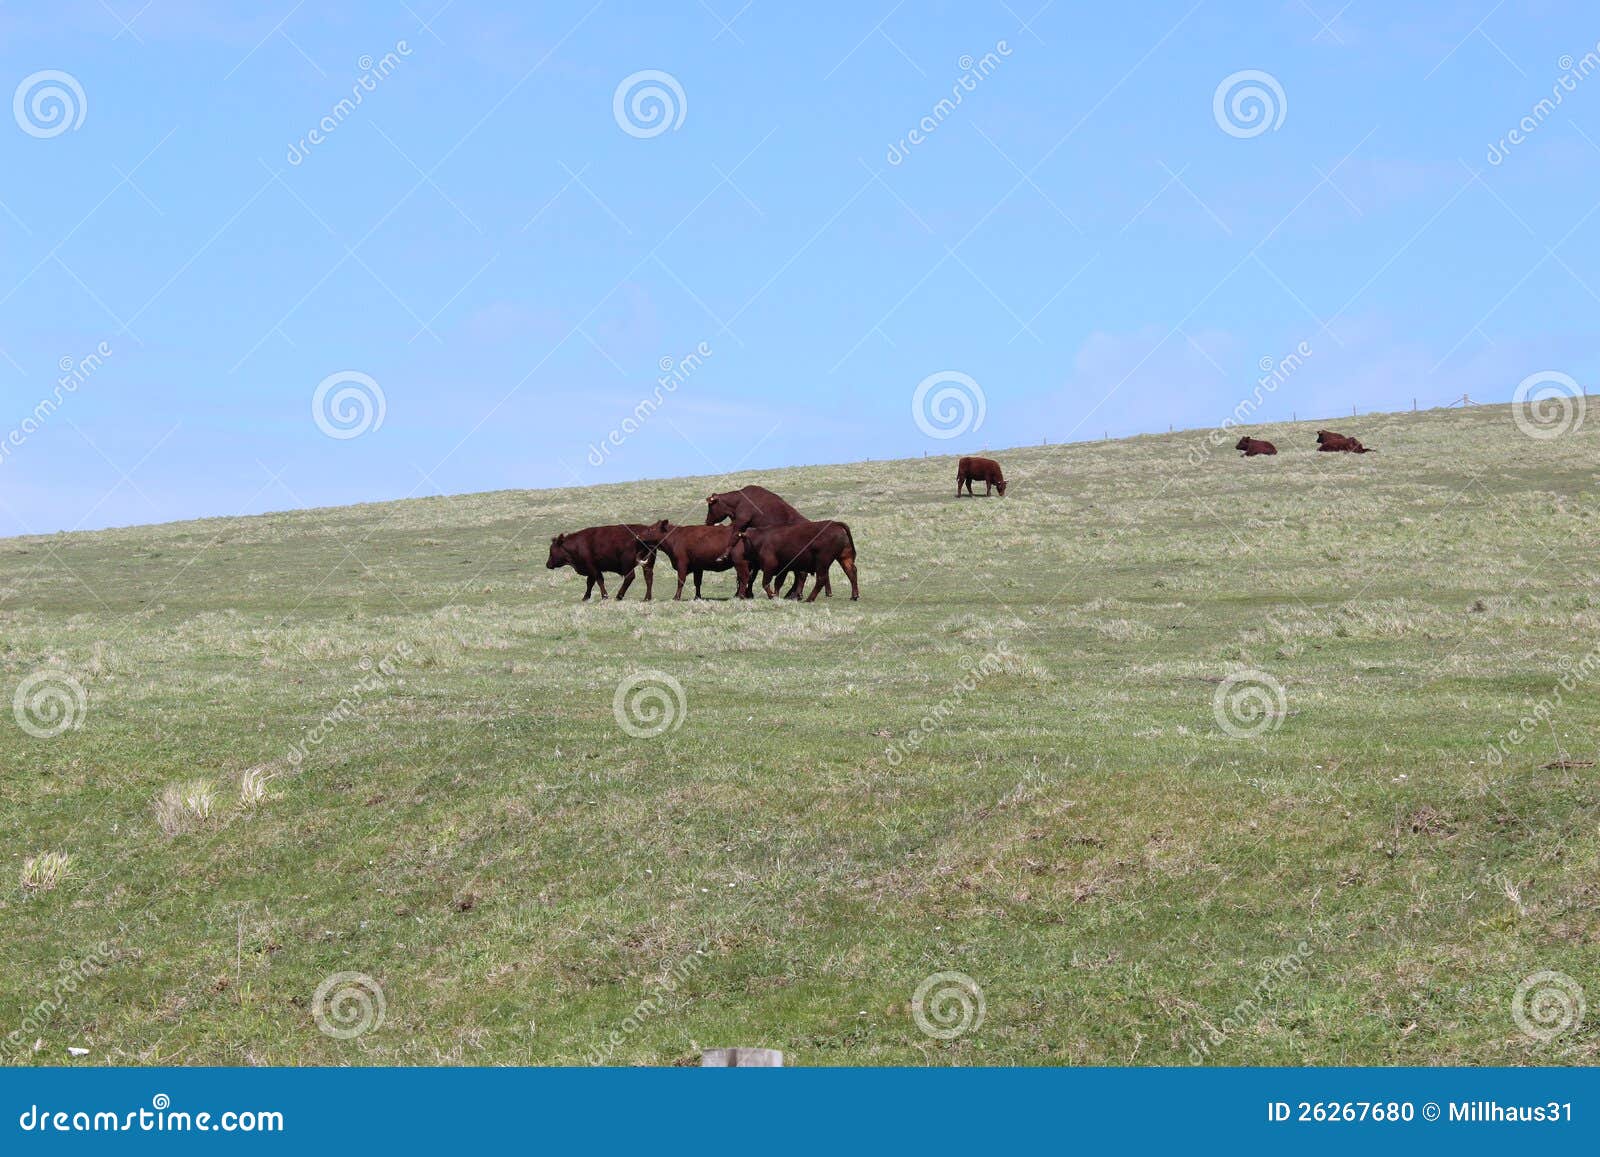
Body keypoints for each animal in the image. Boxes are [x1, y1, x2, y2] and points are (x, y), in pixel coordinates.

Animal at [718, 520, 860, 602]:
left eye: (738, 540)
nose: (725, 555)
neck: (761, 538)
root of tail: (835, 524)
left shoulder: (769, 565)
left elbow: (765, 583)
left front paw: (772, 596)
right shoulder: (783, 568)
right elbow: (778, 583)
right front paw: (776, 595)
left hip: (822, 561)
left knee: (821, 579)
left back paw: (809, 599)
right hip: (844, 558)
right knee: (851, 572)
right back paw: (854, 595)